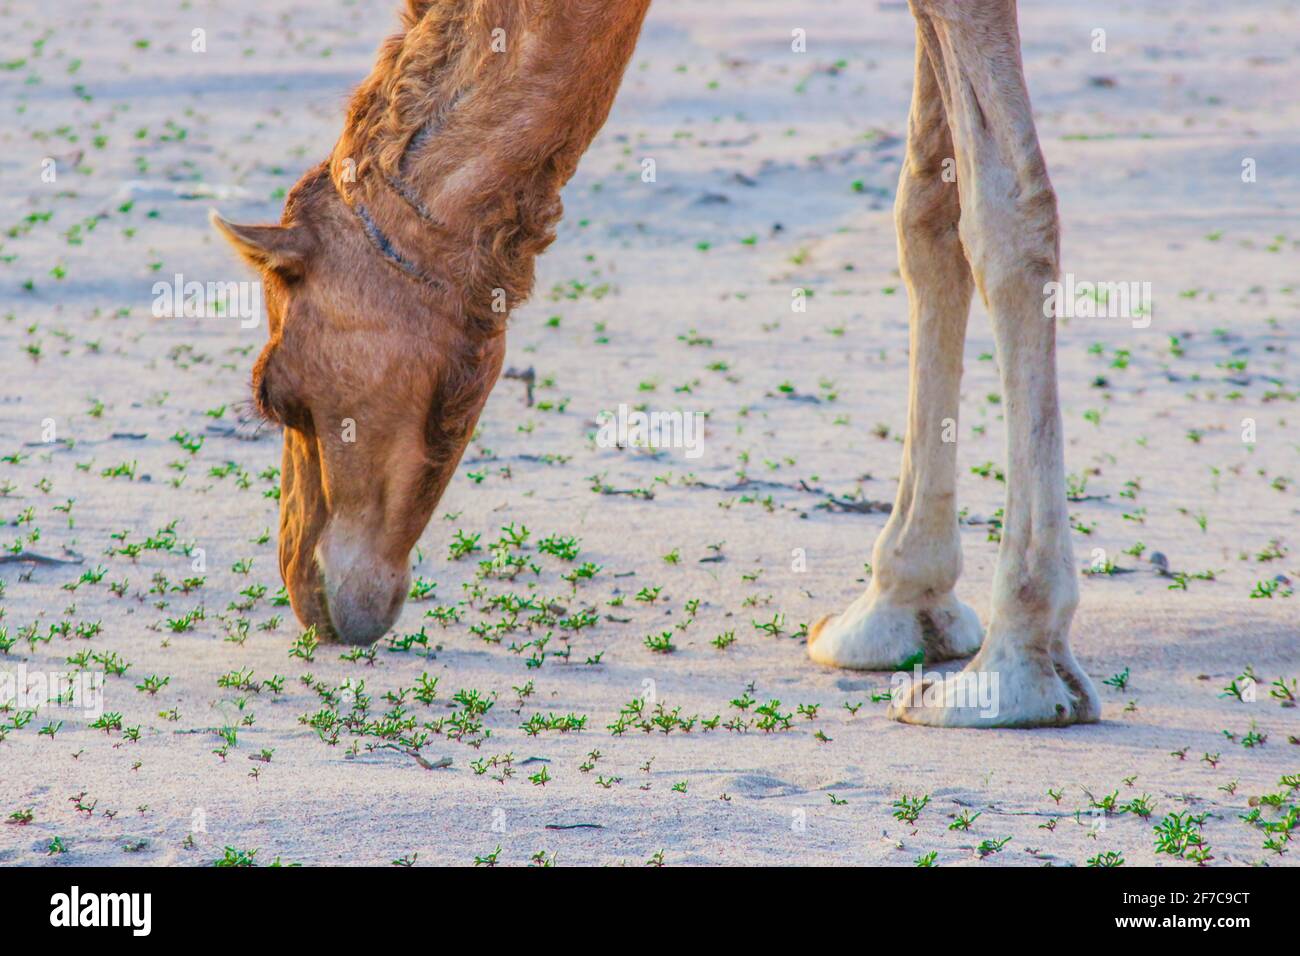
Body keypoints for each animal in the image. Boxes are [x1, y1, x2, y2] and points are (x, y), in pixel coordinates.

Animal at [212, 0, 1101, 729]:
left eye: (278, 394)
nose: (307, 592)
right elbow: (927, 208)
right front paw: (898, 605)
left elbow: (1007, 212)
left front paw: (1015, 670)